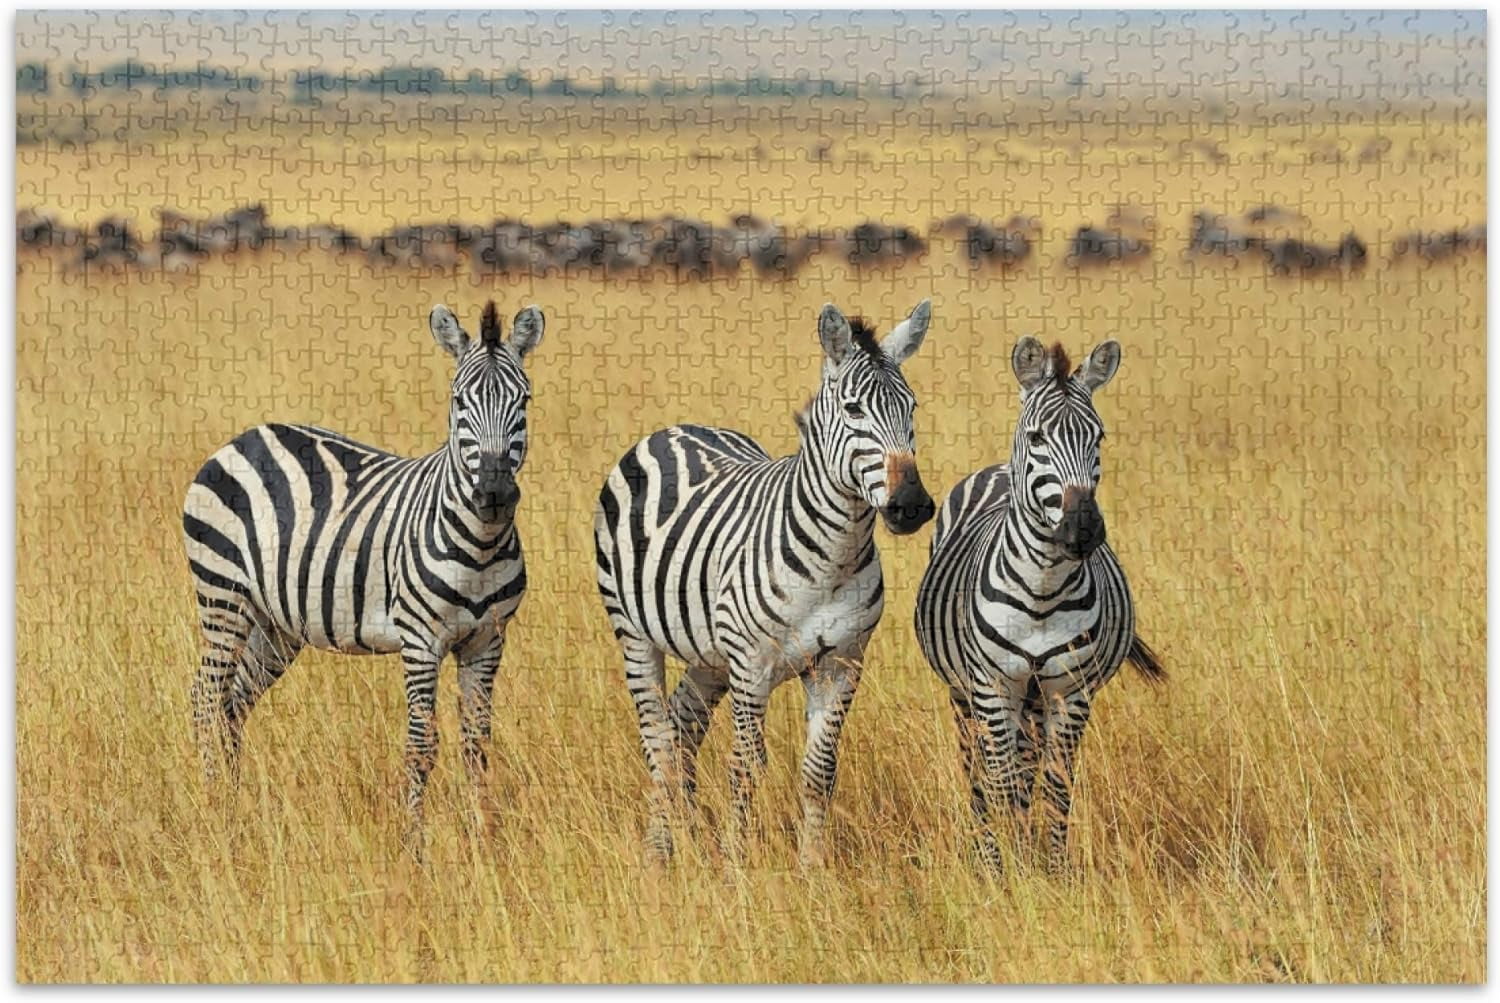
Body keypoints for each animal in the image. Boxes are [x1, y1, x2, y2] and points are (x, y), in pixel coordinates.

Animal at [182, 299, 544, 847]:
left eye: (522, 400)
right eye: (459, 401)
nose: (494, 493)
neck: (480, 545)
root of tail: (246, 436)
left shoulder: (488, 641)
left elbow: (476, 745)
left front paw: (486, 841)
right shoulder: (420, 641)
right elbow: (422, 745)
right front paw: (414, 844)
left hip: (275, 624)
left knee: (233, 703)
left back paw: (234, 809)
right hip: (224, 598)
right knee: (206, 697)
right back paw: (210, 809)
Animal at [594, 300, 936, 865]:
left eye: (912, 409)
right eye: (853, 410)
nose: (911, 505)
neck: (833, 560)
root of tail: (675, 429)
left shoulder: (842, 662)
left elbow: (820, 771)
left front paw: (811, 866)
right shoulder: (751, 665)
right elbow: (746, 765)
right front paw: (738, 864)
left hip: (711, 654)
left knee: (682, 726)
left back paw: (681, 839)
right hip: (636, 634)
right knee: (659, 740)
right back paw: (658, 855)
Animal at [913, 336, 1163, 873]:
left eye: (1099, 438)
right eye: (1037, 437)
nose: (1082, 529)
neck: (1043, 588)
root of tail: (998, 467)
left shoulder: (1071, 691)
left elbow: (1055, 784)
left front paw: (1051, 867)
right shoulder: (993, 686)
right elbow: (1003, 781)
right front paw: (1003, 869)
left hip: (1034, 699)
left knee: (1028, 766)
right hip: (967, 694)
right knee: (978, 770)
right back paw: (987, 847)